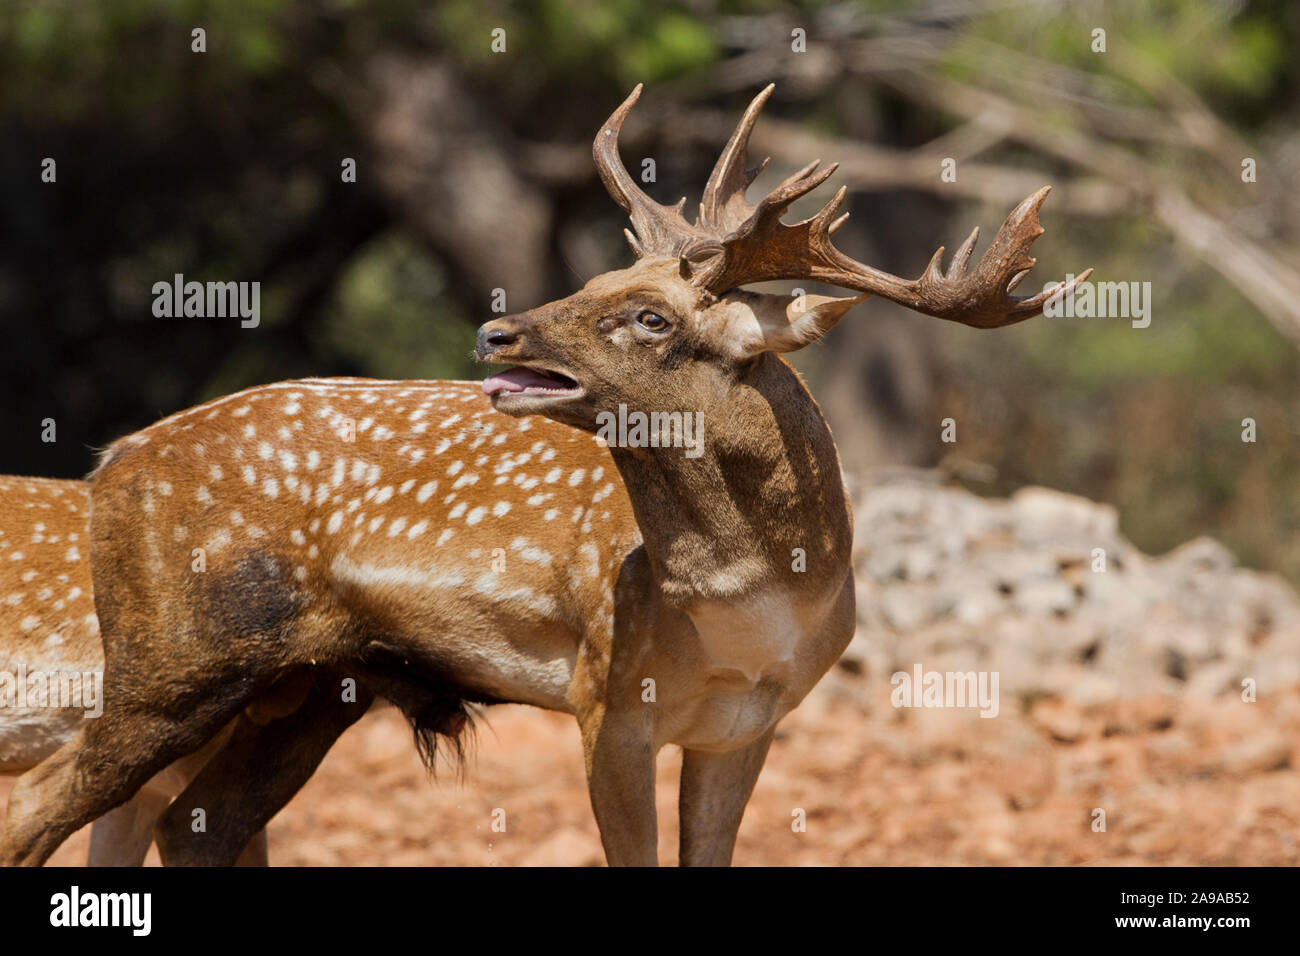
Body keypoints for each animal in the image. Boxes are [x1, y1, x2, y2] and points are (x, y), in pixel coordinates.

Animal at [1, 83, 1086, 866]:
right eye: (598, 279)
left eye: (648, 315)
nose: (498, 331)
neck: (754, 614)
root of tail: (112, 462)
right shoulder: (609, 698)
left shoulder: (746, 724)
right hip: (172, 659)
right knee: (38, 806)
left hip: (302, 690)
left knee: (195, 828)